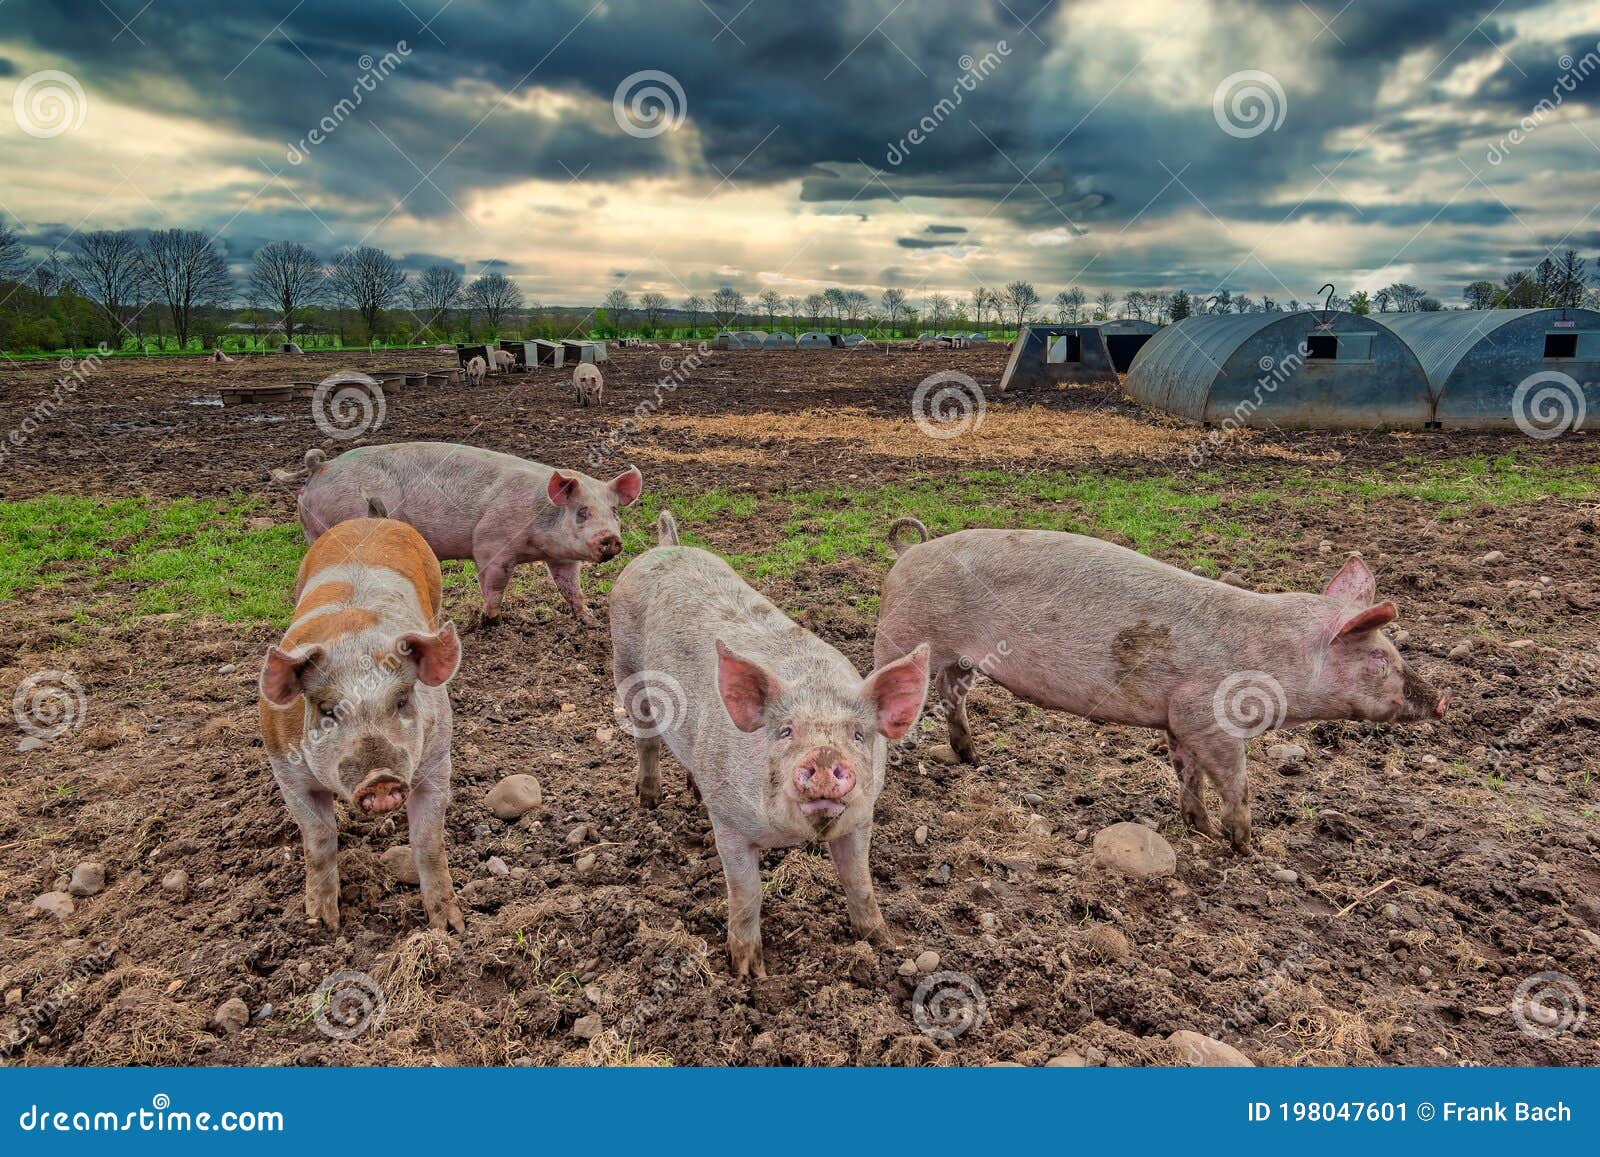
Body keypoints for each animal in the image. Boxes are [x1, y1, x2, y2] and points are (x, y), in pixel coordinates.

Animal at [259, 515, 464, 932]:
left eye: (402, 700)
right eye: (327, 710)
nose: (381, 778)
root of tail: (371, 517)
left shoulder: (438, 760)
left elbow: (429, 842)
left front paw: (451, 928)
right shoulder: (285, 770)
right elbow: (319, 840)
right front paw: (322, 923)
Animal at [291, 442, 643, 625]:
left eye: (614, 512)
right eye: (582, 511)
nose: (610, 538)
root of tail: (319, 468)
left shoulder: (562, 558)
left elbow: (571, 587)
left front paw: (590, 619)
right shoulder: (491, 542)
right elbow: (495, 583)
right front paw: (490, 621)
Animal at [610, 511, 930, 977]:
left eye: (857, 734)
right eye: (785, 731)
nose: (824, 756)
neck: (792, 835)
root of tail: (665, 546)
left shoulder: (861, 818)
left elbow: (859, 881)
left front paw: (885, 944)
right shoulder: (728, 824)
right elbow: (747, 893)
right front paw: (748, 974)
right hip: (625, 665)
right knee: (646, 740)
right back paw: (649, 800)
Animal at [873, 520, 1449, 854]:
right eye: (1379, 658)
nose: (1442, 698)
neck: (1277, 657)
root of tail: (909, 550)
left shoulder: (1177, 719)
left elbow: (1187, 772)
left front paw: (1199, 829)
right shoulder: (1207, 712)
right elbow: (1234, 779)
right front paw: (1245, 845)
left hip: (961, 660)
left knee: (952, 695)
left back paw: (971, 758)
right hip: (900, 634)